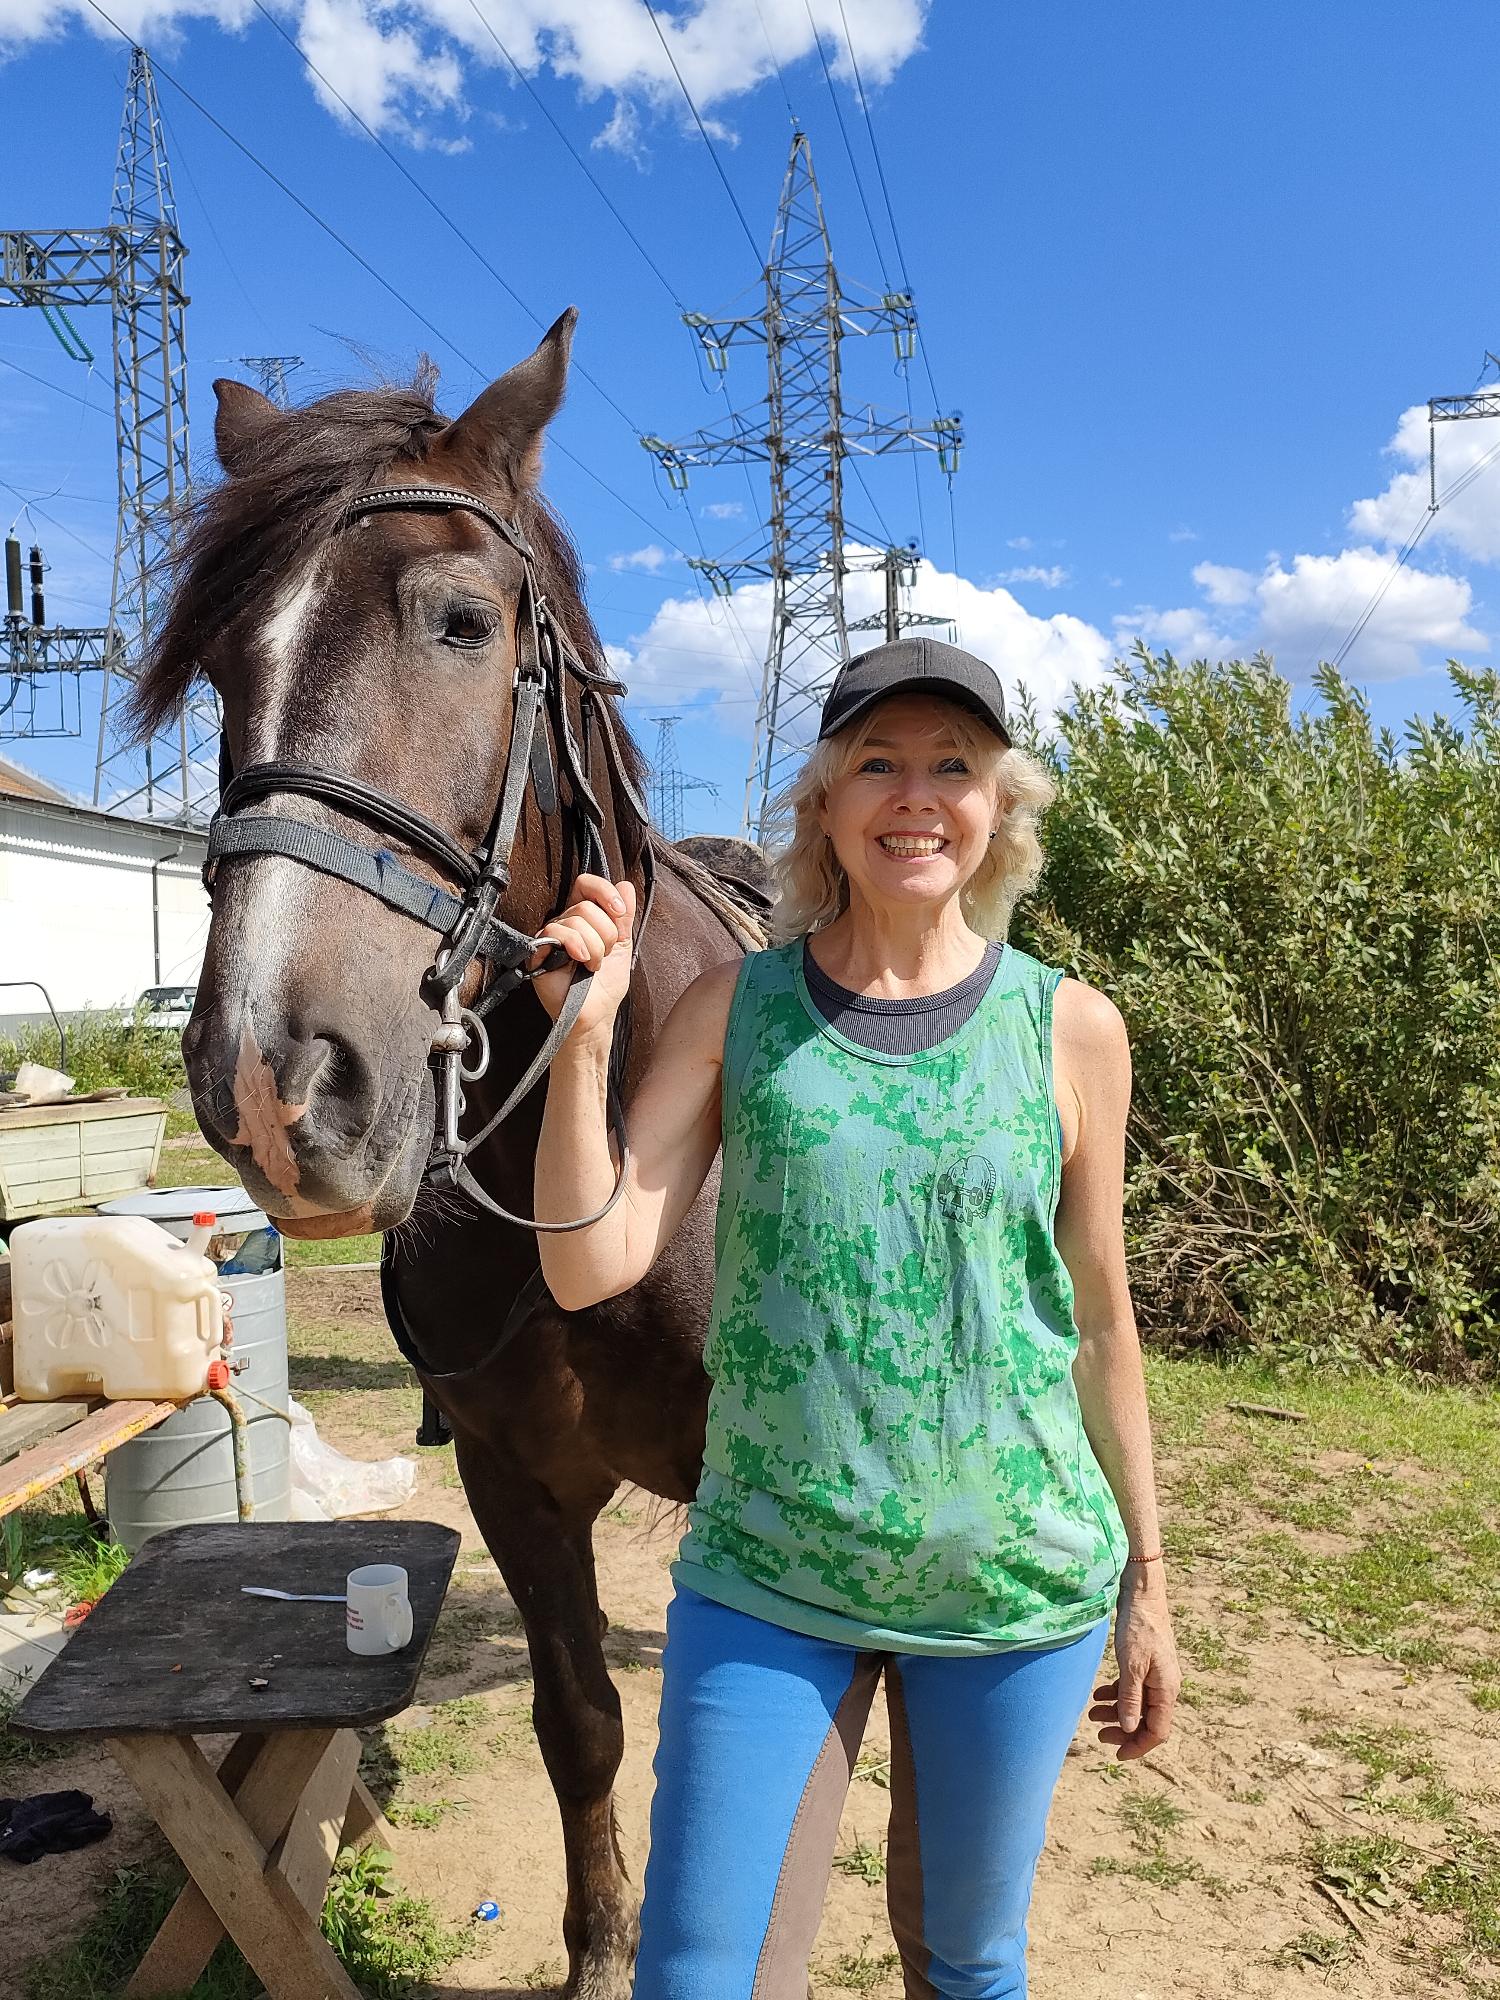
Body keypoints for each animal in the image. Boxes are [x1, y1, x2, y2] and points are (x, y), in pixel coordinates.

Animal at [133, 310, 762, 1999]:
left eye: (465, 622)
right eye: (222, 667)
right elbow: (584, 1727)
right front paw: (606, 1949)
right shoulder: (512, 1479)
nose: (270, 1080)